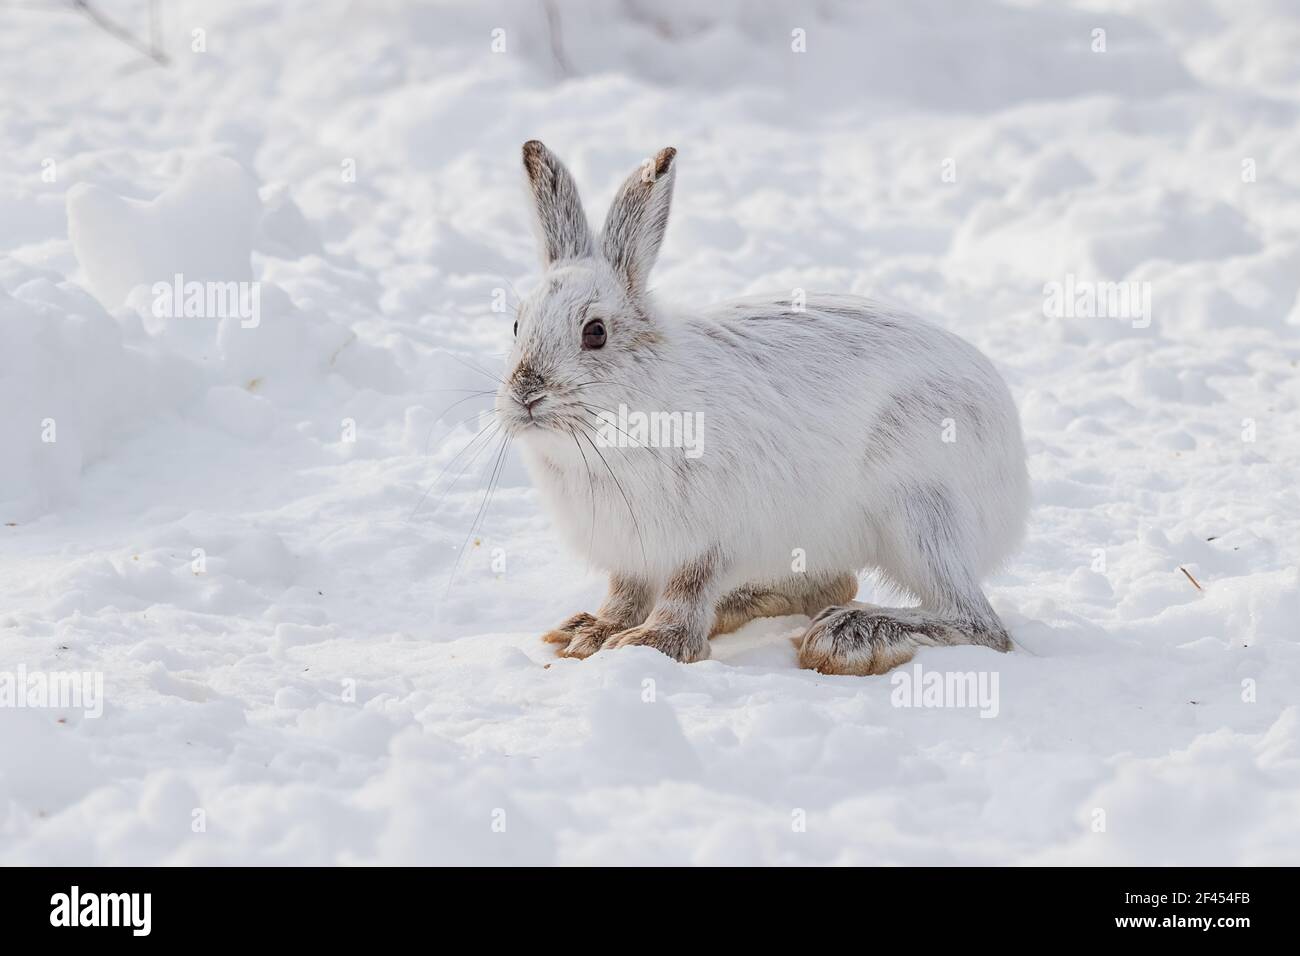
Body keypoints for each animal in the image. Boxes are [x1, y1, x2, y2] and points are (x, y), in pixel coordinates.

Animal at [495, 141, 1030, 675]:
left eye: (596, 333)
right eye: (518, 326)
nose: (526, 393)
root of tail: (1015, 485)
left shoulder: (712, 540)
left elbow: (687, 590)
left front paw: (653, 642)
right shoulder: (631, 556)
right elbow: (623, 595)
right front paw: (589, 633)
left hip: (920, 515)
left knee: (980, 626)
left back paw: (849, 635)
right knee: (837, 583)